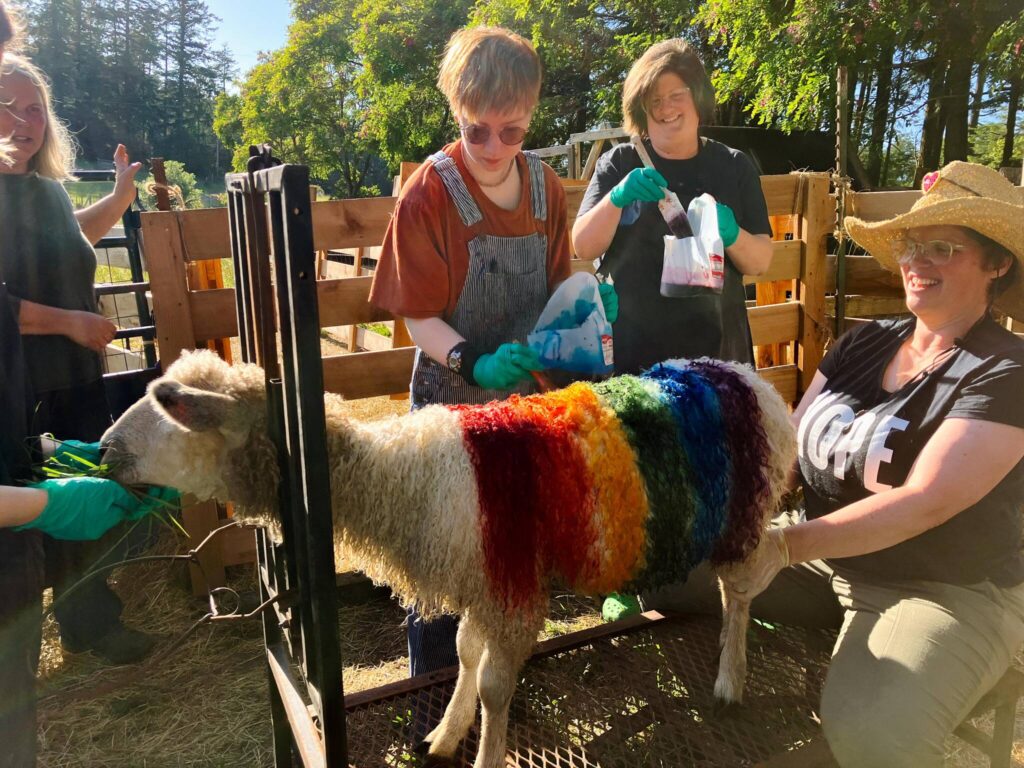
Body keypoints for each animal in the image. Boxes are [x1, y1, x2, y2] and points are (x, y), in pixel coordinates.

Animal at [101, 349, 795, 768]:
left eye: (172, 415)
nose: (105, 450)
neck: (398, 479)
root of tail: (751, 377)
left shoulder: (511, 585)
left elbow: (493, 684)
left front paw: (485, 752)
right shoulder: (479, 579)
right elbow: (462, 655)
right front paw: (445, 735)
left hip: (741, 518)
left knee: (740, 595)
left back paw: (730, 679)